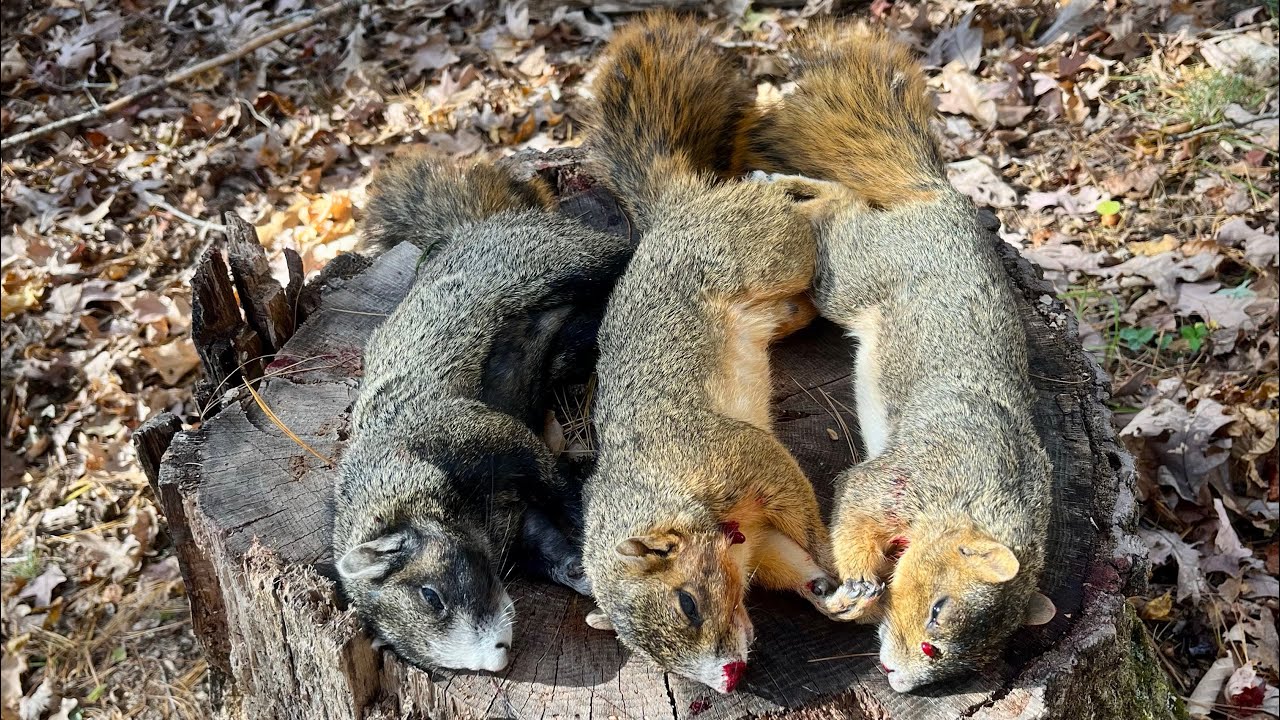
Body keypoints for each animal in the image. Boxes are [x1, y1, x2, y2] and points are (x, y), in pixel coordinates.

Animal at [333, 152, 632, 672]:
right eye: (428, 665)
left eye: (431, 595)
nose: (495, 659)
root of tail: (469, 228)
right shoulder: (515, 522)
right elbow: (547, 544)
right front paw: (579, 573)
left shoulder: (487, 434)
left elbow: (556, 485)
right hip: (571, 341)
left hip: (562, 261)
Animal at [578, 13, 857, 695]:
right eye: (649, 657)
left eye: (687, 602)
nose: (727, 678)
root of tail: (681, 212)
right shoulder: (756, 541)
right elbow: (793, 565)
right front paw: (832, 595)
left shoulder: (742, 456)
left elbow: (800, 507)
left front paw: (836, 558)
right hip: (781, 301)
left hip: (771, 251)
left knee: (806, 210)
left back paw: (798, 186)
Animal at [742, 21, 1057, 693]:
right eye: (939, 608)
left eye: (973, 664)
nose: (900, 679)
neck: (983, 501)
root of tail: (943, 200)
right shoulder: (906, 477)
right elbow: (856, 505)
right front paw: (860, 581)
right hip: (854, 271)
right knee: (839, 213)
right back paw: (786, 192)